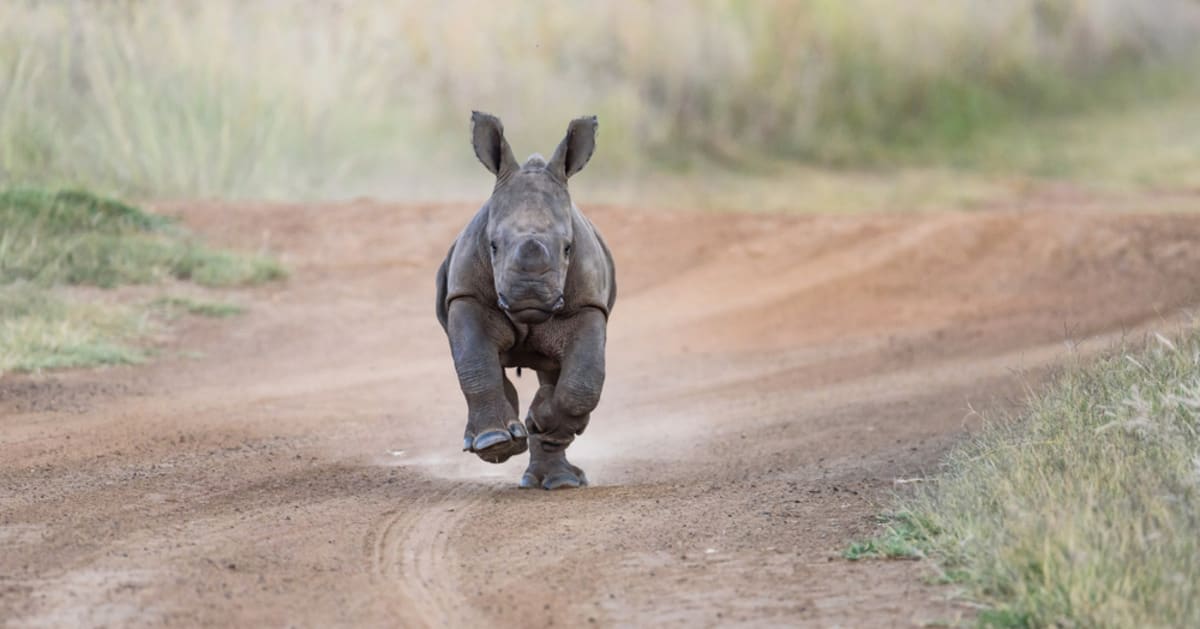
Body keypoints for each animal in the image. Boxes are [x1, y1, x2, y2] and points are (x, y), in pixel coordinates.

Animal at [435, 112, 616, 490]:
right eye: (492, 245)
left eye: (567, 248)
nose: (527, 293)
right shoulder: (466, 295)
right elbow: (474, 362)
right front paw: (494, 442)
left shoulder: (589, 305)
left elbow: (583, 380)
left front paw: (543, 421)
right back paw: (498, 440)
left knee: (555, 374)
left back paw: (560, 479)